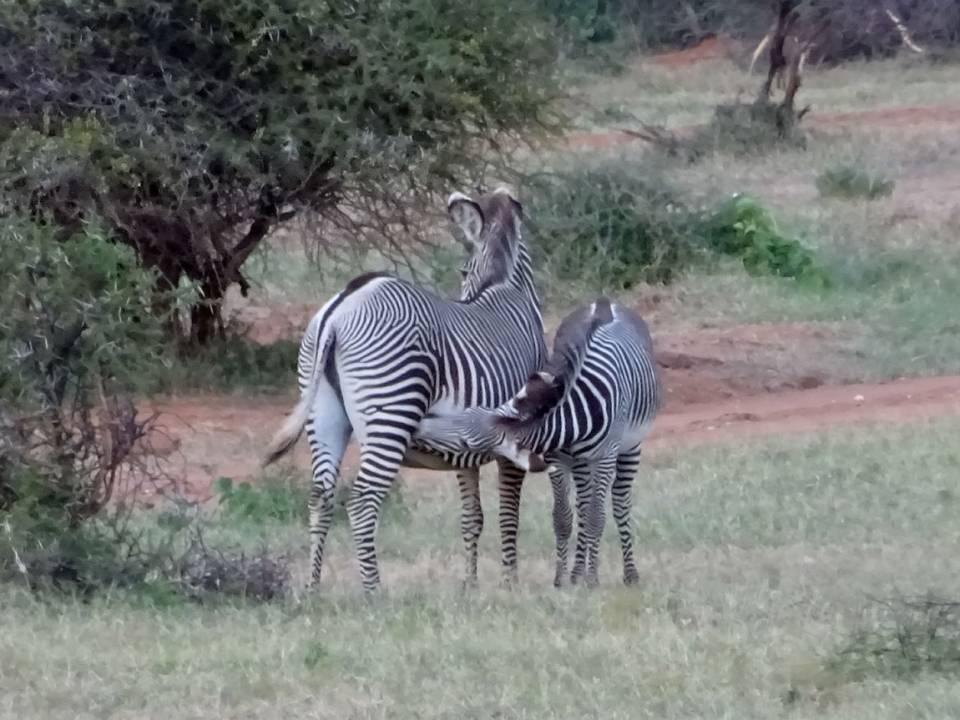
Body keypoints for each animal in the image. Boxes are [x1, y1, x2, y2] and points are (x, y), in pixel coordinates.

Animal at [263, 187, 546, 592]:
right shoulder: (513, 438)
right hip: (390, 413)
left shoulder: (468, 446)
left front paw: (470, 586)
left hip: (321, 412)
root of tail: (340, 307)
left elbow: (472, 516)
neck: (503, 286)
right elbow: (509, 515)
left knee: (321, 497)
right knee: (363, 502)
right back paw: (375, 593)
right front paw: (510, 585)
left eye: (462, 271)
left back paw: (313, 590)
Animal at [416, 298, 662, 588]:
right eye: (465, 413)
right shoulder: (557, 459)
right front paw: (562, 579)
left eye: (466, 442)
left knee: (620, 501)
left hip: (630, 447)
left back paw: (629, 574)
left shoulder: (605, 456)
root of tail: (606, 302)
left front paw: (592, 580)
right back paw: (577, 573)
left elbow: (596, 518)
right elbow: (563, 516)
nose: (420, 425)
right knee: (583, 502)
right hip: (581, 462)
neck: (576, 413)